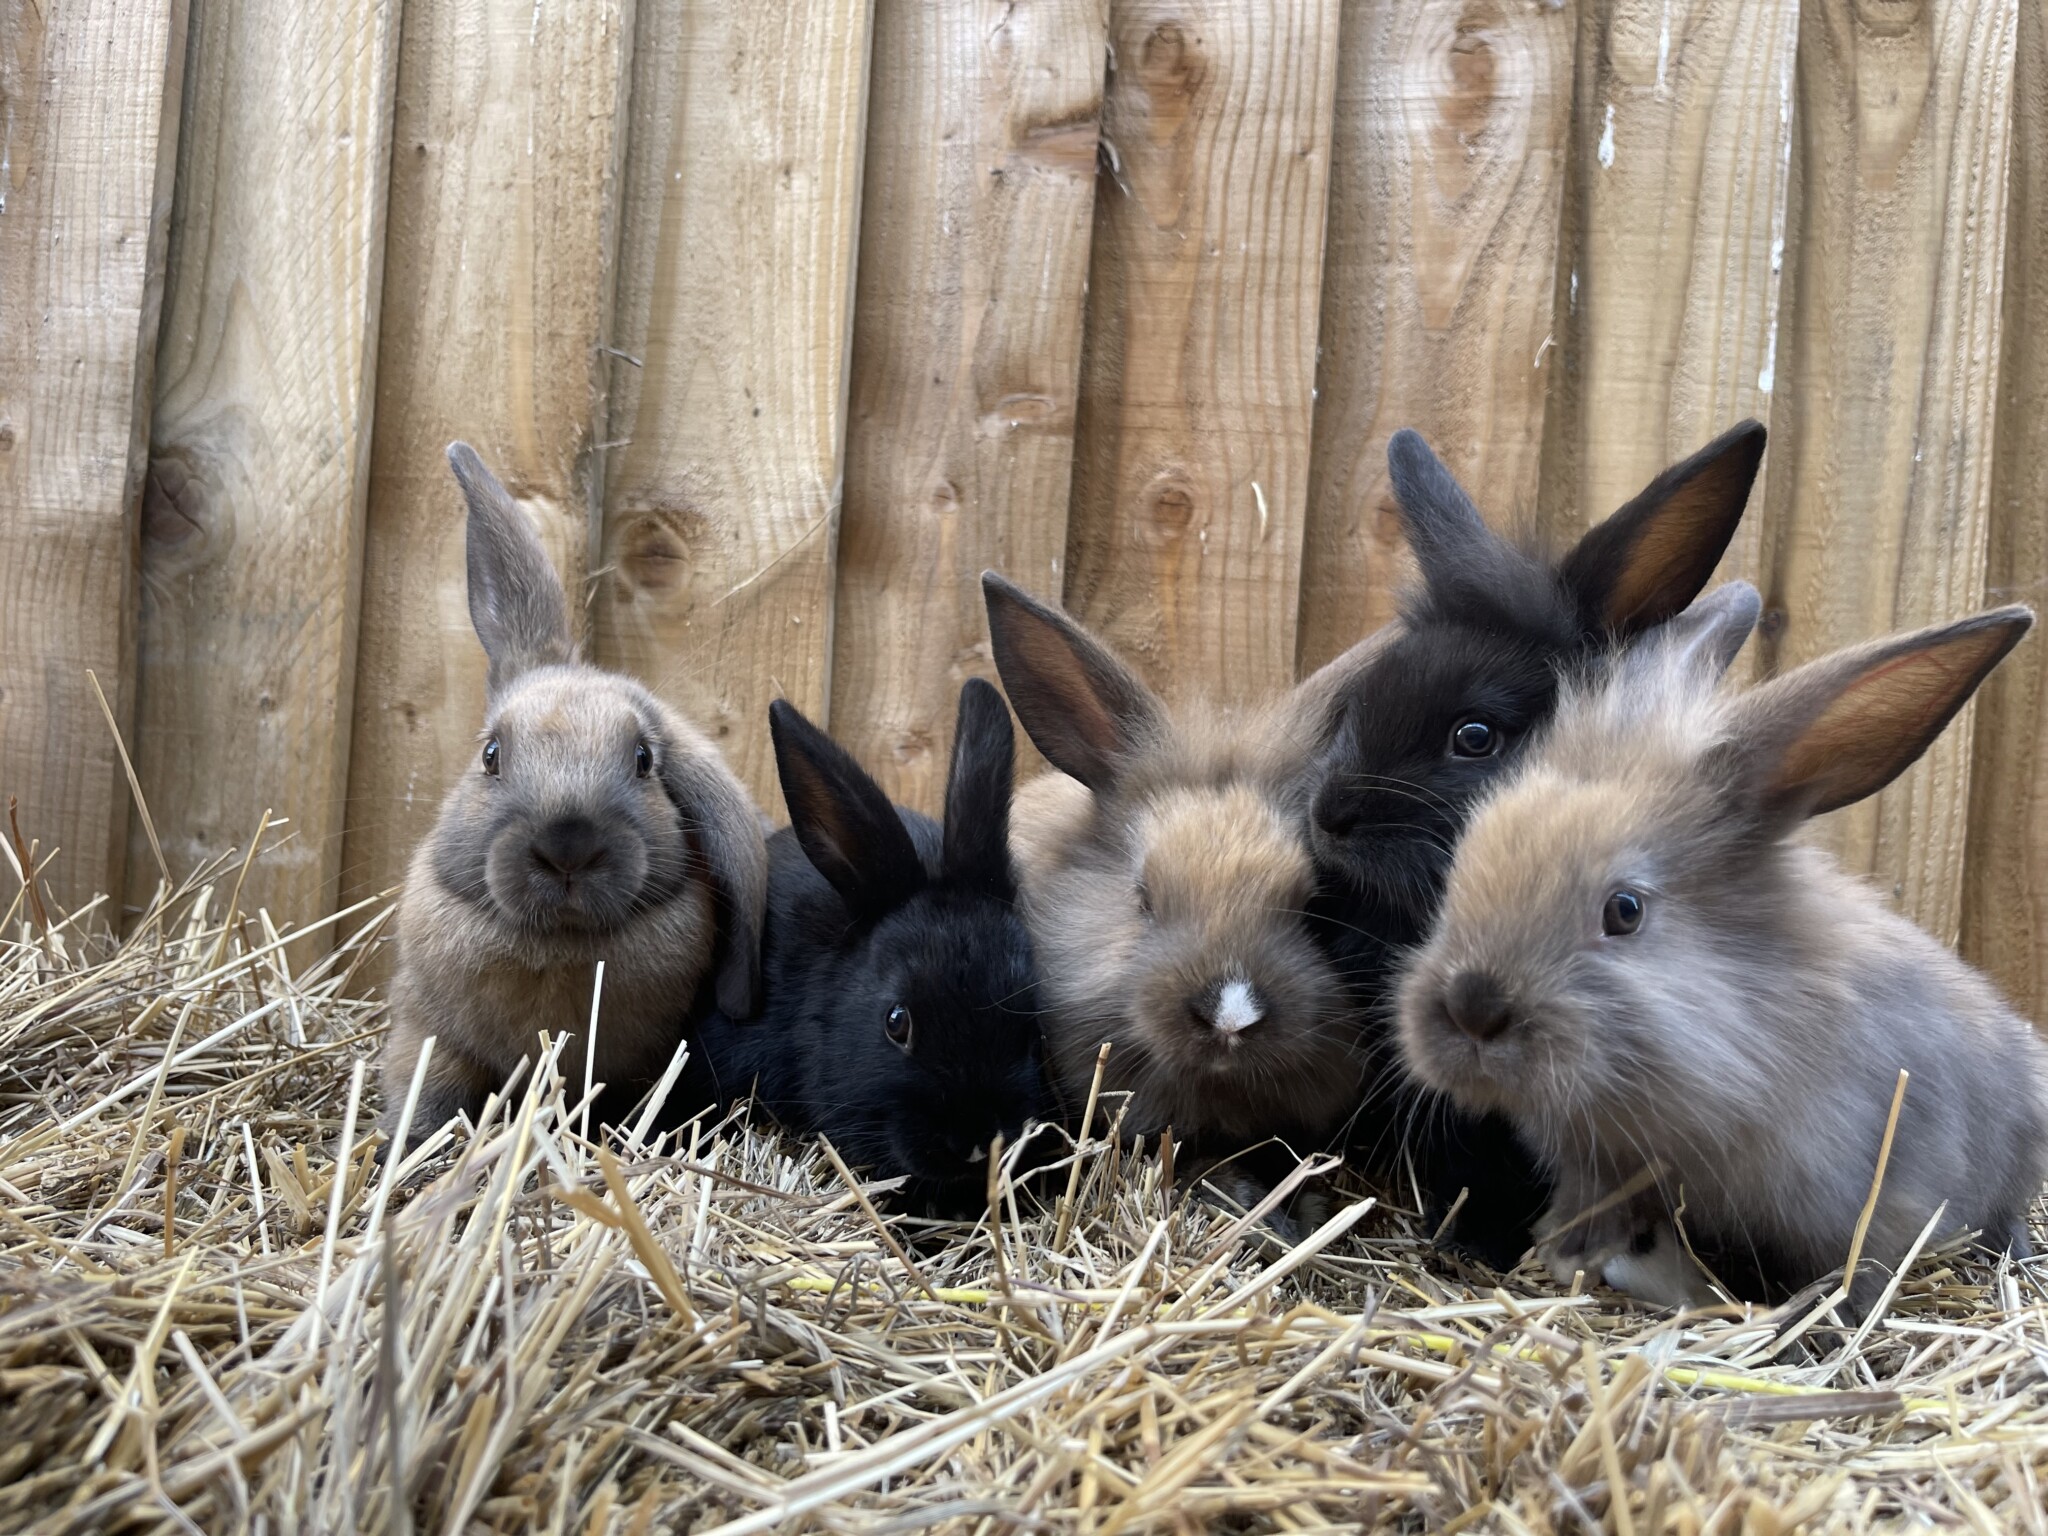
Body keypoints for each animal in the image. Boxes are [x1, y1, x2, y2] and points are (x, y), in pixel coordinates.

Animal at [379, 444, 768, 1150]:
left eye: (643, 760)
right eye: (491, 755)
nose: (568, 844)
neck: (555, 946)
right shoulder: (426, 1037)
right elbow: (429, 1096)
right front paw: (406, 1150)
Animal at [1397, 584, 2048, 1314]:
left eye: (1625, 910)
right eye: (1459, 873)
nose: (1472, 1008)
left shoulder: (1881, 1197)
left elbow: (1863, 1268)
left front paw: (1825, 1325)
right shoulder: (1599, 1172)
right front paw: (1566, 1254)